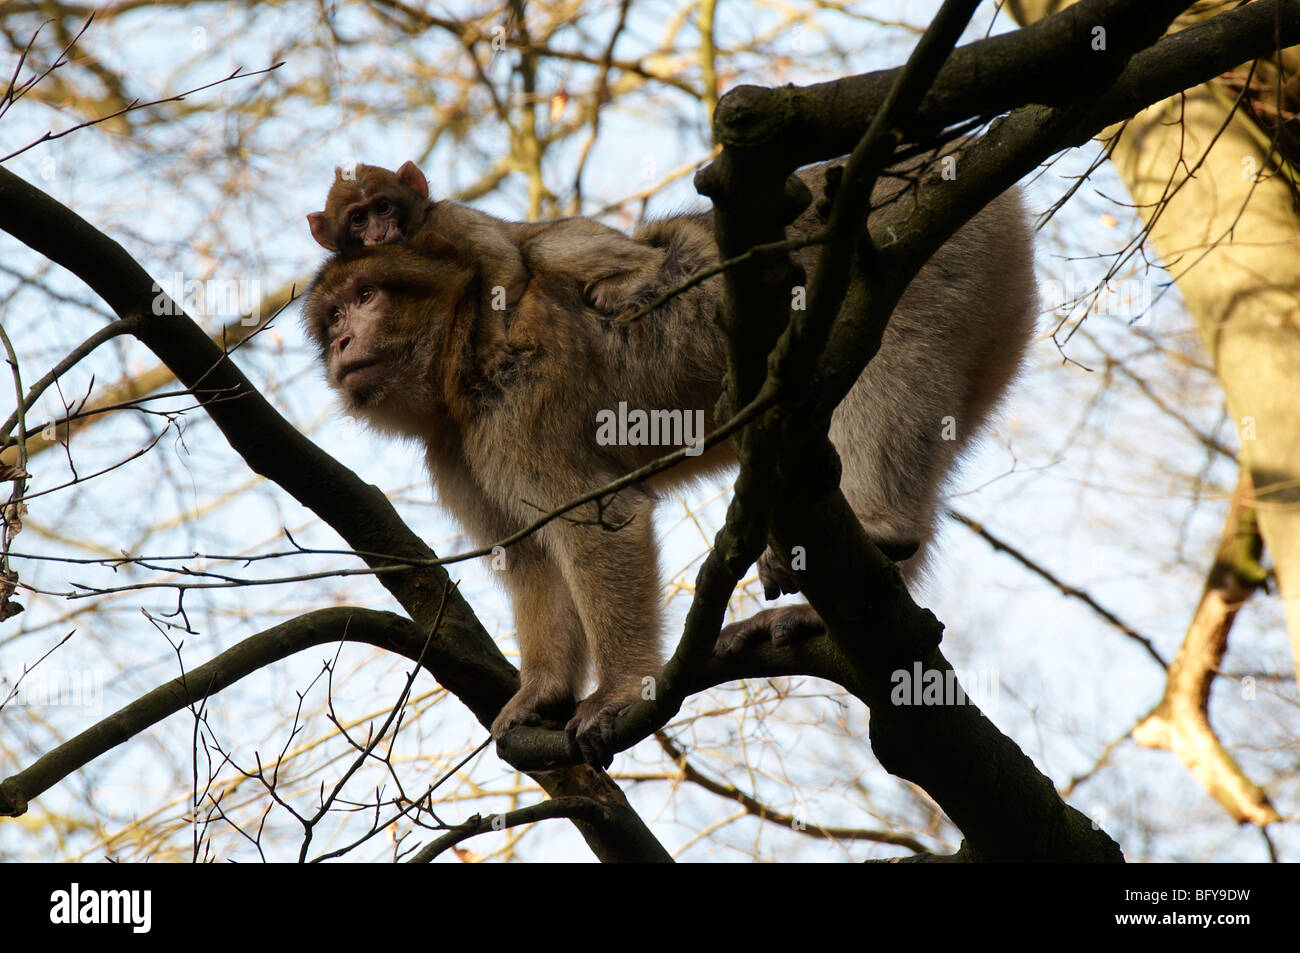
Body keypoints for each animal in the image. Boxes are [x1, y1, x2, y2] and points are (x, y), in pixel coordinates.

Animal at [303, 155, 1037, 767]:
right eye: (334, 312)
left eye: (367, 298)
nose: (341, 342)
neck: (461, 351)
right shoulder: (460, 450)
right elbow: (532, 557)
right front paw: (544, 690)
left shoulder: (521, 400)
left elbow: (600, 522)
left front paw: (620, 689)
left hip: (924, 258)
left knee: (882, 358)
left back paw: (881, 527)